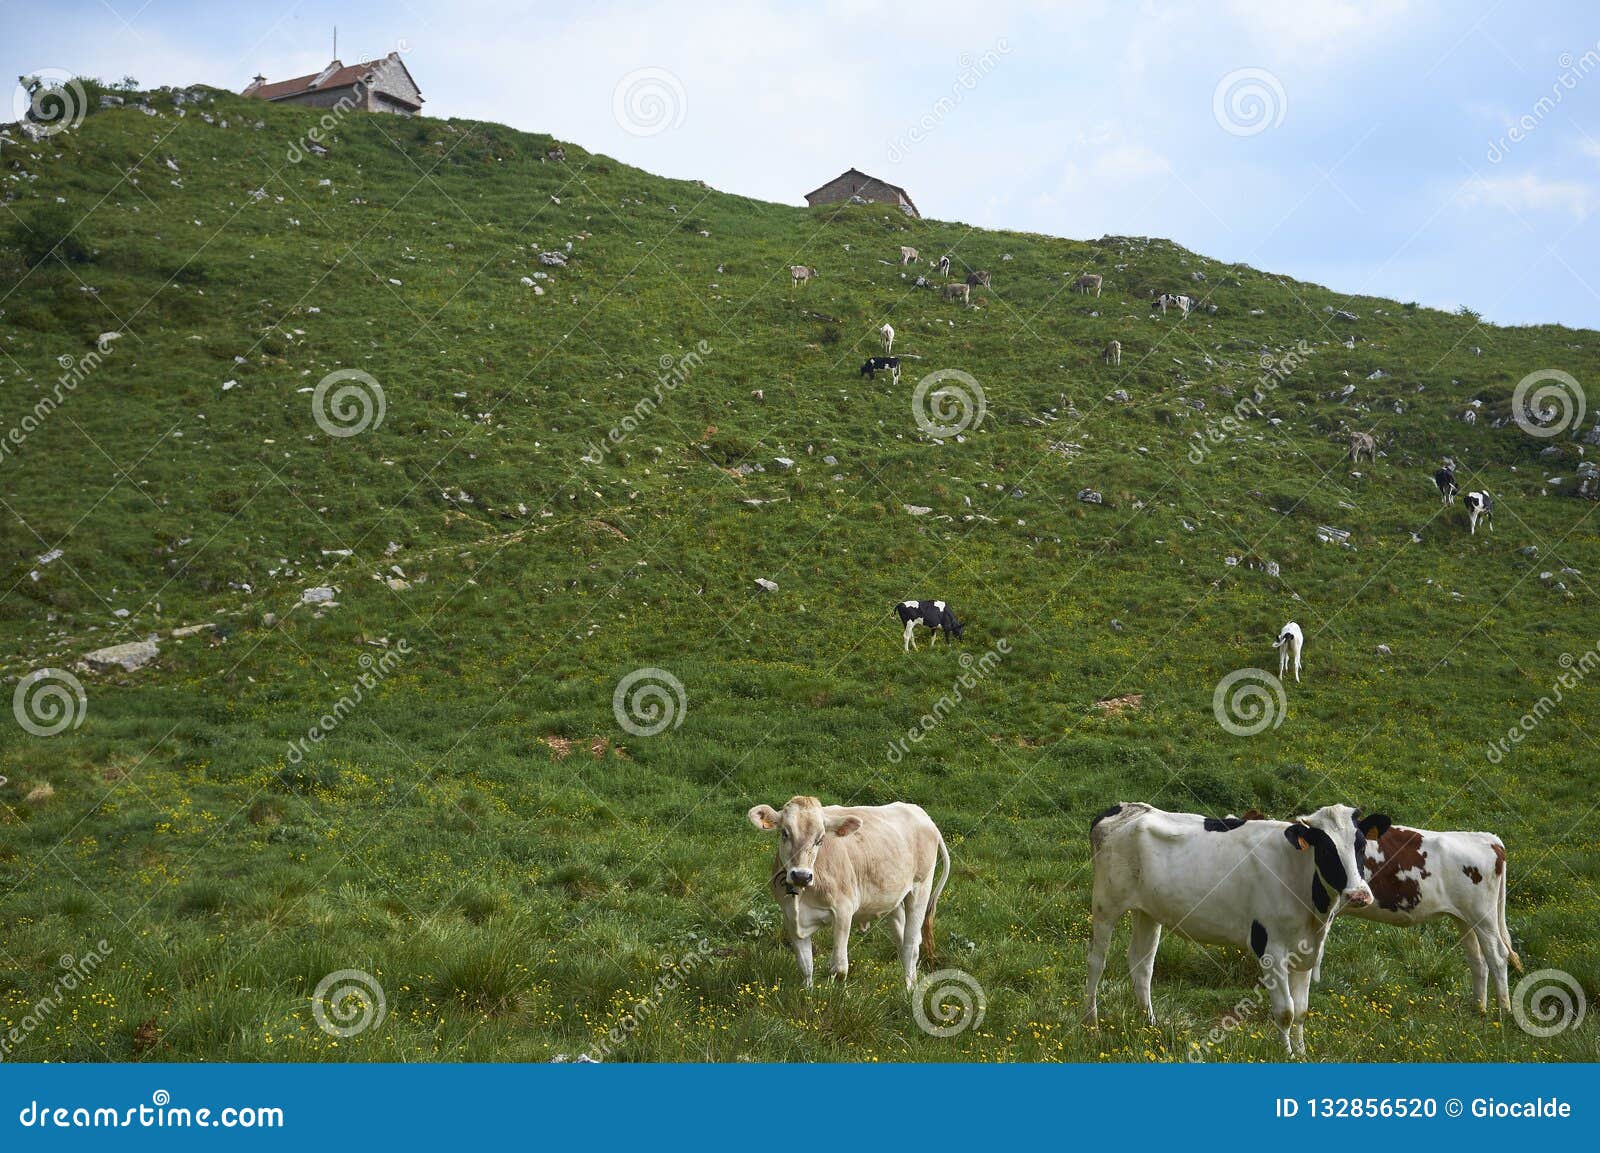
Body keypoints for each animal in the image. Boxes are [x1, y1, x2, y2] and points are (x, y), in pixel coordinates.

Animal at [747, 796, 951, 988]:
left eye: (820, 839)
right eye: (785, 833)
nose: (801, 876)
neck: (803, 895)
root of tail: (921, 813)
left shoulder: (843, 910)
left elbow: (838, 968)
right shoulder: (790, 916)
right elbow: (805, 966)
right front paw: (809, 994)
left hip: (921, 887)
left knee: (911, 947)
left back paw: (908, 990)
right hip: (894, 899)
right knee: (904, 941)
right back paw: (913, 984)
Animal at [1085, 802, 1389, 1055]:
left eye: (1361, 844)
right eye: (1326, 849)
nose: (1359, 895)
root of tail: (1129, 808)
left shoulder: (1305, 951)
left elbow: (1302, 1011)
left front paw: (1302, 1054)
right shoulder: (1270, 948)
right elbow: (1286, 1012)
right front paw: (1288, 1055)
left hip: (1148, 911)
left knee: (1141, 965)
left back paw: (1149, 1023)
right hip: (1105, 904)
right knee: (1097, 962)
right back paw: (1092, 1025)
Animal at [1344, 825, 1521, 1011]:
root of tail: (1488, 838)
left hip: (1483, 916)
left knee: (1497, 956)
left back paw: (1504, 1012)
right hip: (1465, 919)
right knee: (1478, 959)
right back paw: (1479, 1010)